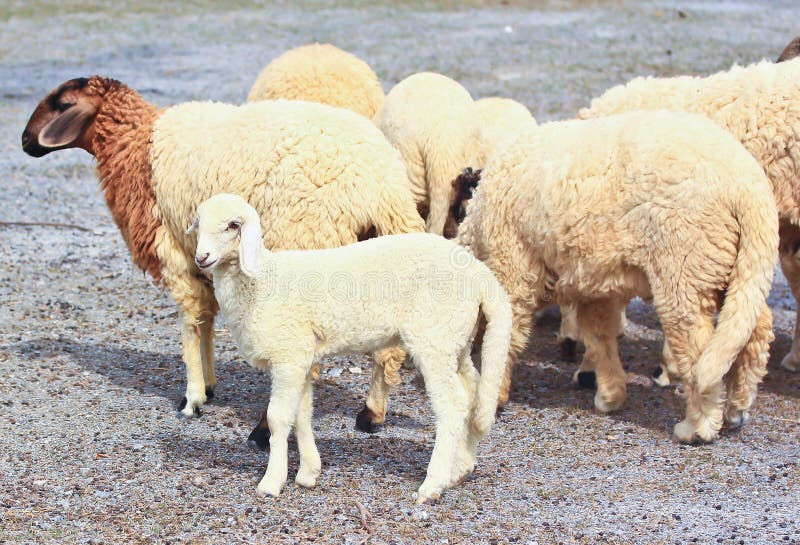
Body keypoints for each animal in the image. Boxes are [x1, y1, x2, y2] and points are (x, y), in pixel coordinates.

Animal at [21, 76, 424, 442]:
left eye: (61, 103)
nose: (25, 141)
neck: (137, 146)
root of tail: (381, 188)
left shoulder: (173, 248)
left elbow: (190, 321)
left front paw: (193, 399)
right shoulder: (200, 254)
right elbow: (206, 318)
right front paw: (210, 384)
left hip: (307, 241)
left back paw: (263, 432)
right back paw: (372, 413)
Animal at [191, 193, 512, 501]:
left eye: (233, 225)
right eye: (199, 223)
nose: (201, 257)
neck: (261, 283)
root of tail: (479, 272)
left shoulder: (288, 356)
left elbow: (279, 417)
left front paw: (272, 482)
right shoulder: (302, 356)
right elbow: (302, 414)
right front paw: (308, 473)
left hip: (434, 338)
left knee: (453, 404)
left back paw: (432, 485)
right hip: (456, 340)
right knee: (473, 395)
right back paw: (460, 469)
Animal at [457, 111, 778, 443]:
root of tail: (748, 185)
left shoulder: (513, 266)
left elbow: (506, 336)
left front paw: (495, 397)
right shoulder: (592, 283)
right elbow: (599, 334)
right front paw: (610, 395)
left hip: (685, 262)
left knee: (697, 345)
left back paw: (698, 426)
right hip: (729, 259)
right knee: (753, 328)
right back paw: (737, 407)